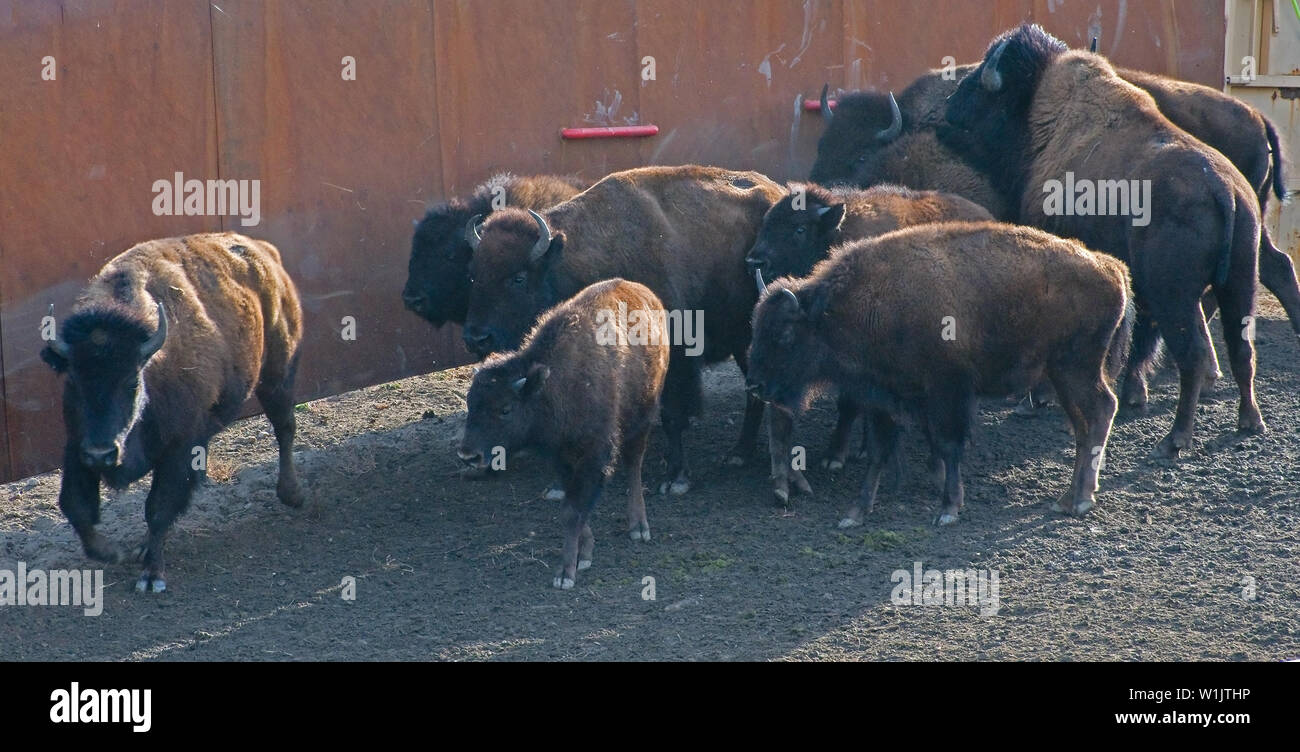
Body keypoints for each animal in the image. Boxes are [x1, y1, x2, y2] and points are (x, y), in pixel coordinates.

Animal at [41, 233, 304, 593]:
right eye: (73, 382)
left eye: (131, 382)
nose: (101, 453)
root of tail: (264, 251)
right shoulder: (76, 449)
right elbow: (76, 507)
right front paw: (114, 553)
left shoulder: (181, 448)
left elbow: (159, 508)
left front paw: (152, 575)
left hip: (277, 372)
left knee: (284, 427)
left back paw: (292, 494)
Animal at [459, 279, 669, 589]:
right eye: (470, 403)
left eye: (506, 409)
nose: (468, 455)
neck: (553, 386)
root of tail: (646, 294)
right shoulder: (561, 459)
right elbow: (572, 506)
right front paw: (585, 554)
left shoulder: (595, 455)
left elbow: (572, 510)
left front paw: (565, 574)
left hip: (643, 416)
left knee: (634, 465)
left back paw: (638, 527)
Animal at [746, 221, 1133, 525]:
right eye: (756, 329)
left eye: (784, 334)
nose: (755, 384)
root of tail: (1112, 267)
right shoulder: (882, 398)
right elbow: (879, 451)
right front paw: (856, 512)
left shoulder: (946, 391)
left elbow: (948, 444)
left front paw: (948, 508)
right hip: (1062, 374)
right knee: (1084, 424)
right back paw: (1070, 499)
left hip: (1076, 368)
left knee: (1101, 411)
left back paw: (1079, 500)